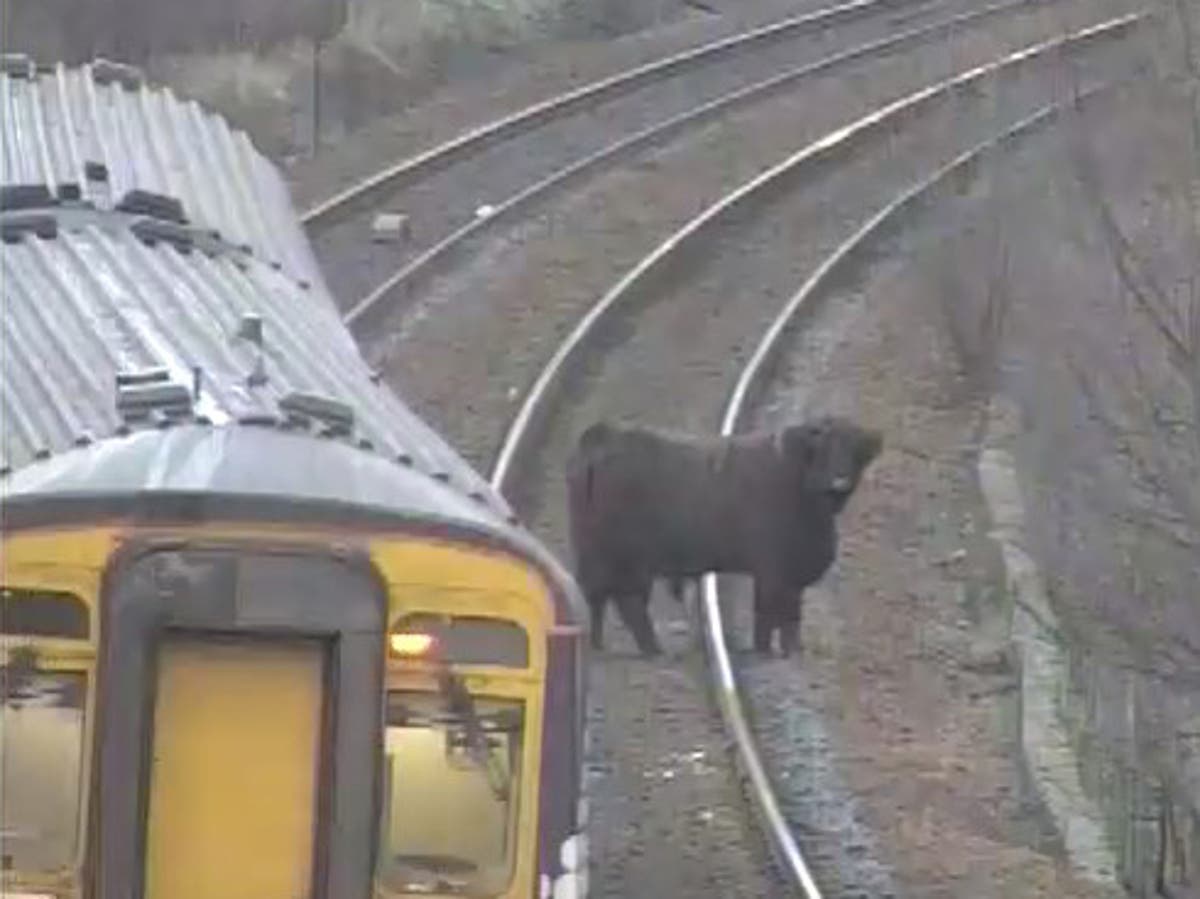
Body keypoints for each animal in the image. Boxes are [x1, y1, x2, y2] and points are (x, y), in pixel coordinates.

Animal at [565, 416, 882, 657]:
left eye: (855, 450)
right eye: (824, 448)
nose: (839, 480)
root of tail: (603, 435)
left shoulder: (789, 576)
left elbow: (788, 617)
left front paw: (790, 650)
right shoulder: (775, 573)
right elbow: (770, 615)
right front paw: (771, 651)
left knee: (604, 599)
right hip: (627, 562)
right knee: (626, 603)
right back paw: (649, 649)